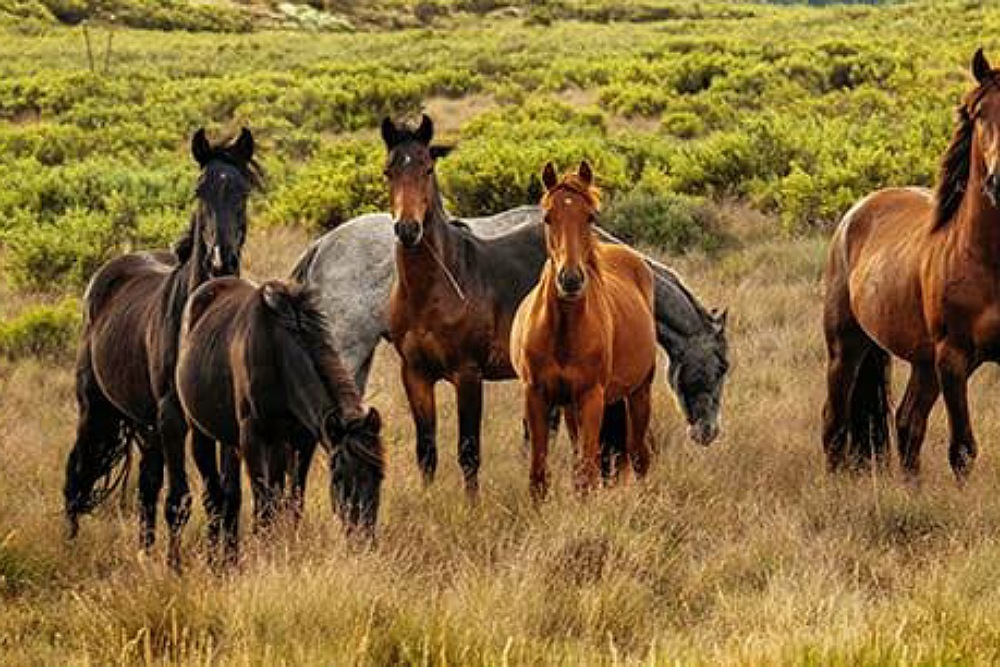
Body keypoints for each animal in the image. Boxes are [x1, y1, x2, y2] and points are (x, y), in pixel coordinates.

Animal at [63, 127, 259, 568]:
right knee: (77, 473)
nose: (221, 261)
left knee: (147, 487)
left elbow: (226, 495)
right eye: (200, 190)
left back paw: (145, 552)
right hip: (97, 410)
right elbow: (181, 499)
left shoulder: (219, 421)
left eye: (243, 191)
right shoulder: (172, 418)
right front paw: (177, 568)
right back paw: (71, 544)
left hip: (146, 425)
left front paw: (226, 561)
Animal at [176, 278, 383, 562]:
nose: (363, 541)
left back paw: (230, 555)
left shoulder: (302, 441)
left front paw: (285, 546)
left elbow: (292, 501)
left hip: (245, 442)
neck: (279, 354)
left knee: (233, 494)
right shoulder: (253, 437)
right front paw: (265, 554)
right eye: (340, 478)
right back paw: (217, 559)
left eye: (379, 476)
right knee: (214, 496)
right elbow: (264, 503)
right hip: (202, 433)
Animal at [511, 162, 657, 497]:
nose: (571, 280)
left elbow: (587, 475)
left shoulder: (592, 398)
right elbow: (539, 476)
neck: (563, 331)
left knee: (639, 455)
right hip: (570, 407)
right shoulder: (537, 395)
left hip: (639, 392)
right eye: (547, 217)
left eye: (590, 216)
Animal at [823, 48, 1000, 481]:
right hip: (846, 348)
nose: (999, 181)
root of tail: (857, 210)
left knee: (907, 424)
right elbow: (962, 450)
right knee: (834, 423)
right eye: (979, 113)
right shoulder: (953, 359)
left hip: (923, 362)